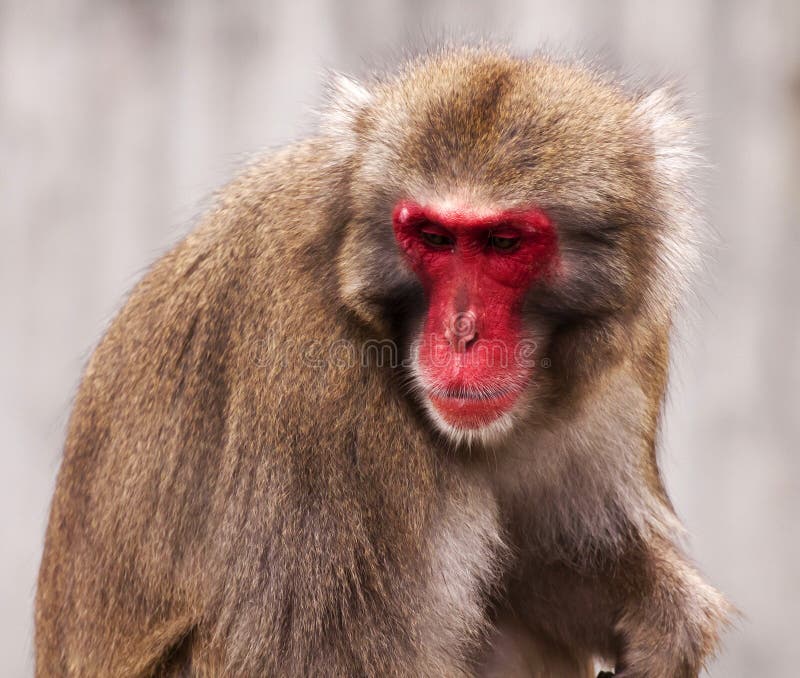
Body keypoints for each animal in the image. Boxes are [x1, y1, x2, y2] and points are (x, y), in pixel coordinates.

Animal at [35, 45, 731, 677]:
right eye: (434, 237)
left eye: (504, 241)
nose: (461, 335)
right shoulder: (315, 383)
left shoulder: (633, 347)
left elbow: (543, 554)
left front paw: (662, 614)